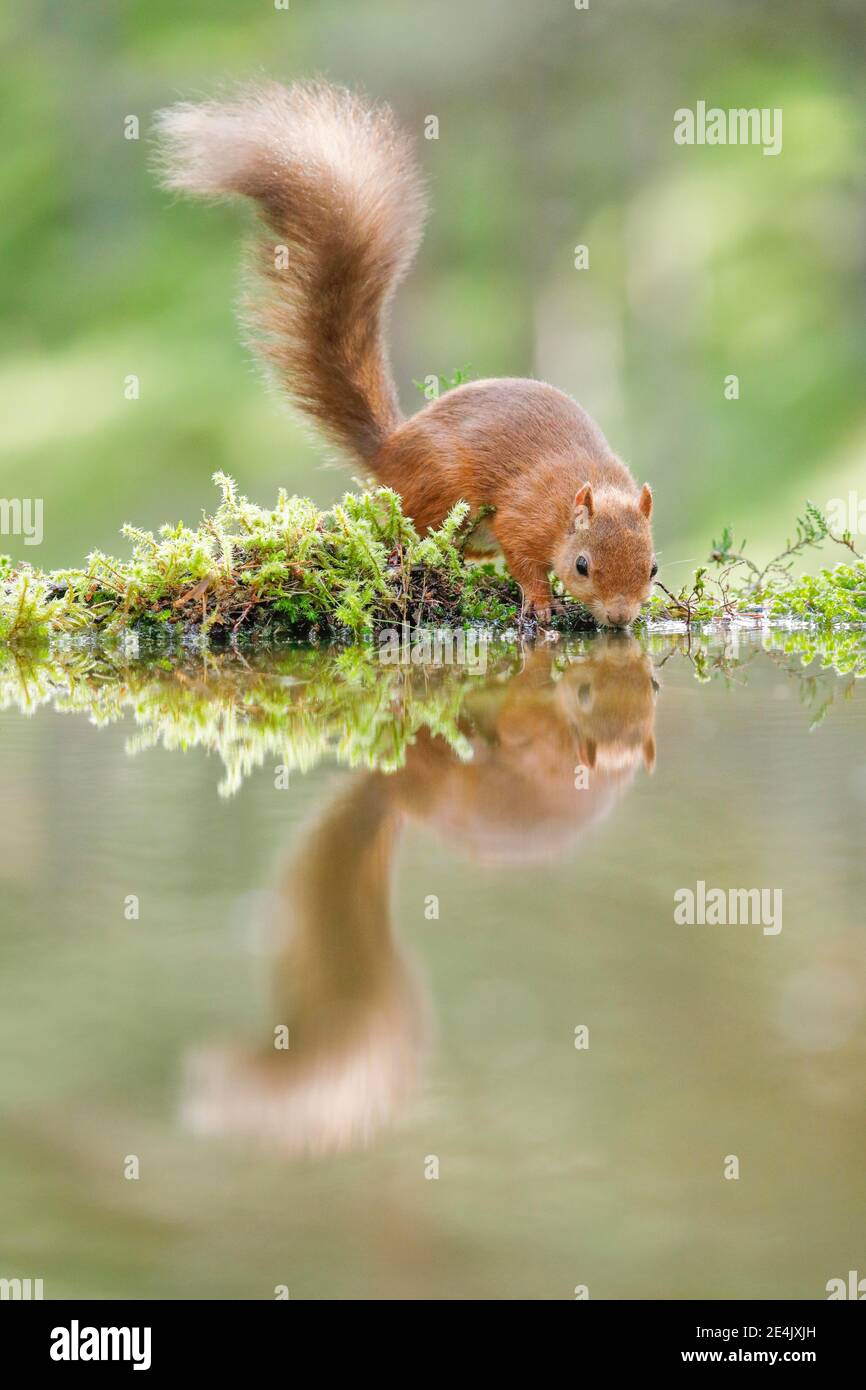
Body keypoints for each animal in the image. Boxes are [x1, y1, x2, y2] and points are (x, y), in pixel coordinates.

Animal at [156, 80, 656, 626]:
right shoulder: (523, 515)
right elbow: (524, 561)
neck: (579, 493)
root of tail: (391, 451)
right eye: (583, 564)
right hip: (440, 491)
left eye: (652, 568)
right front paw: (540, 603)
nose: (620, 618)